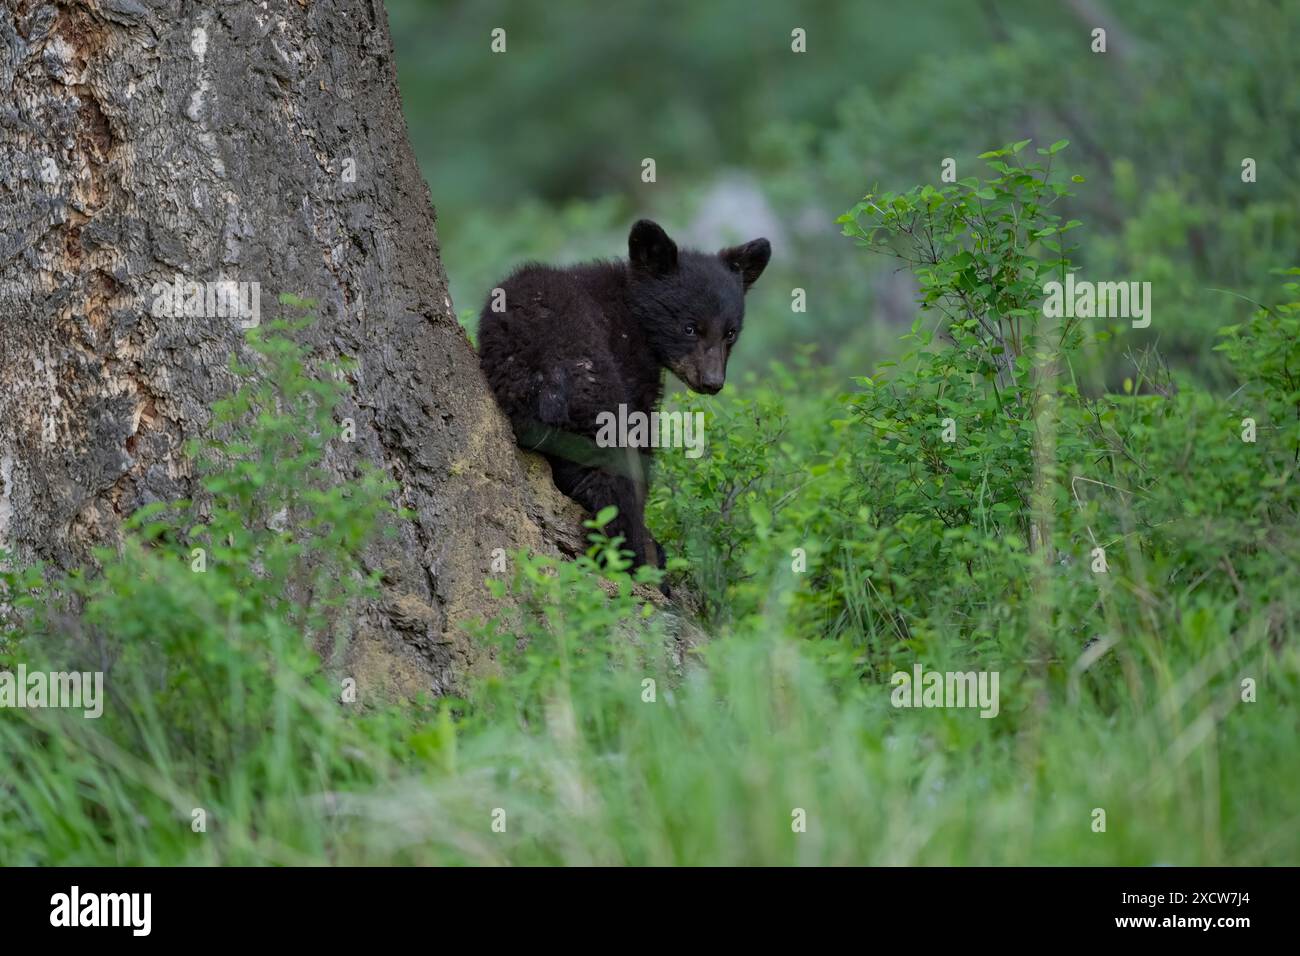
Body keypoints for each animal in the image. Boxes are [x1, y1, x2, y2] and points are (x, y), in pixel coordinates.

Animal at [476, 219, 771, 575]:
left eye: (730, 332)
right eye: (689, 327)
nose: (712, 382)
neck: (633, 311)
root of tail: (545, 372)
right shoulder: (632, 364)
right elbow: (644, 436)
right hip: (598, 399)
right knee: (613, 476)